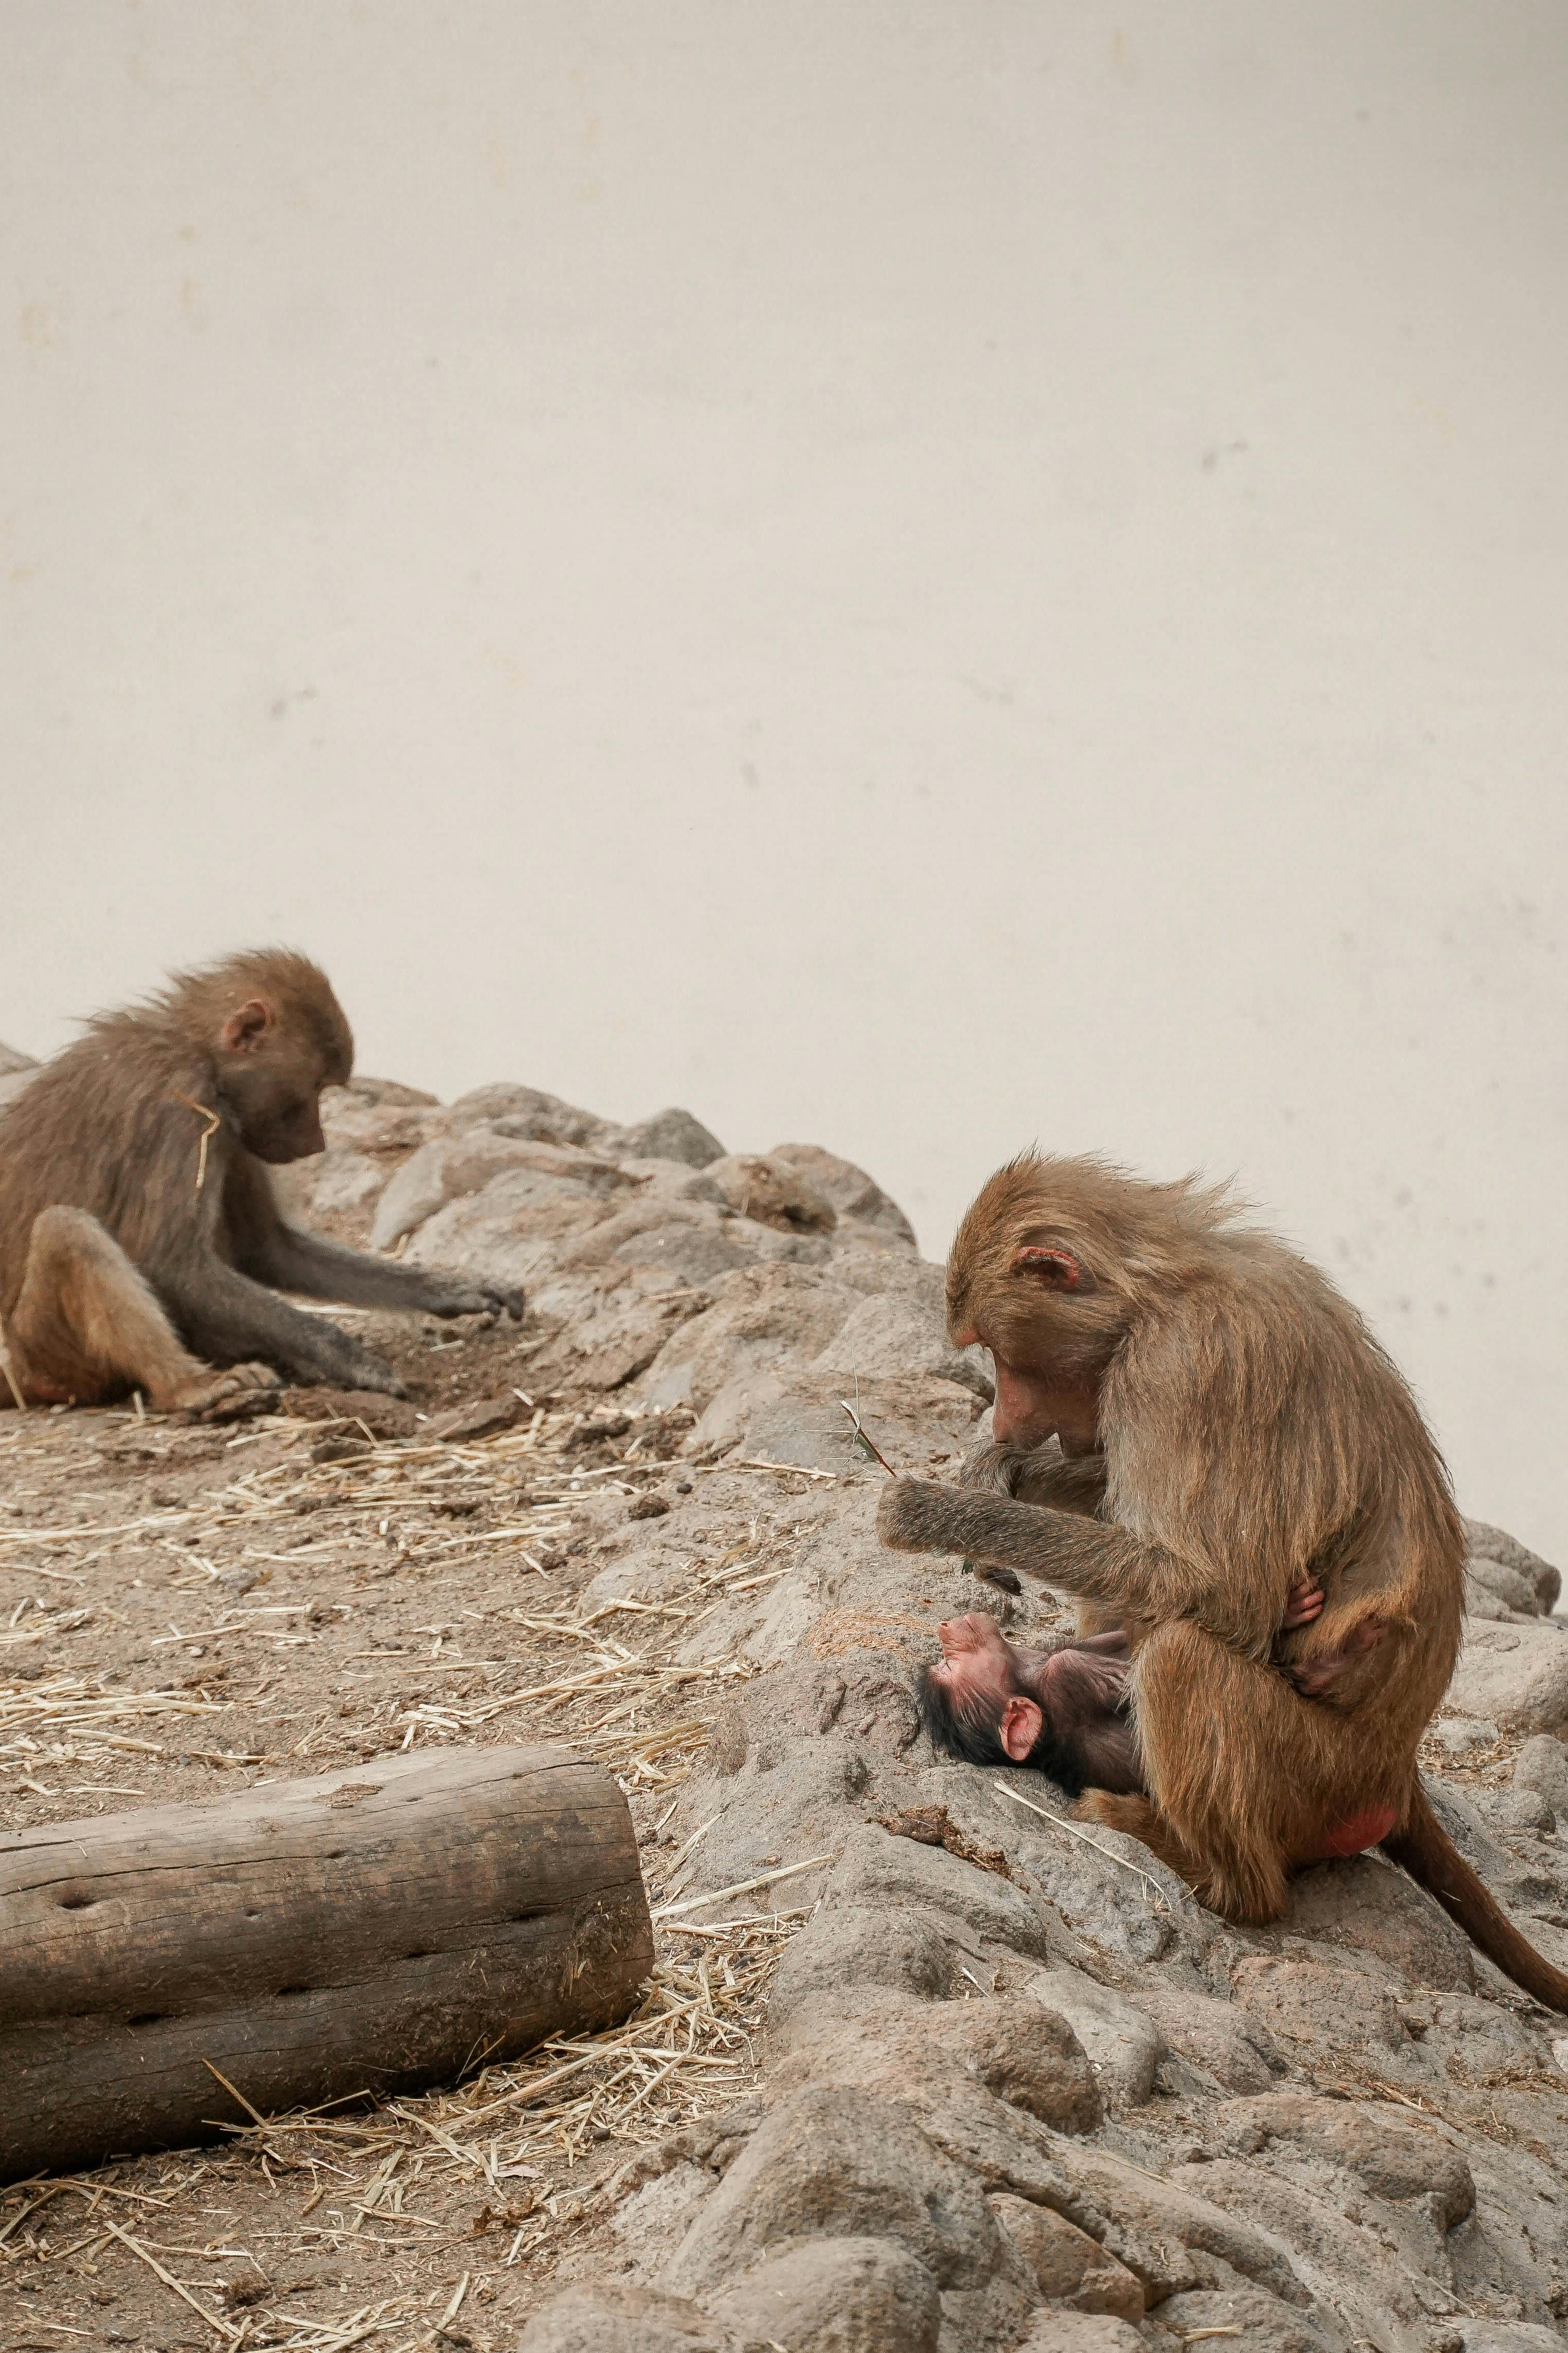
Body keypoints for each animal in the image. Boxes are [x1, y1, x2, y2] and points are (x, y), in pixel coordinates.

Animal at [0, 951, 523, 1414]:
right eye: (314, 1087)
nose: (316, 1143)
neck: (197, 1049)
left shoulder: (235, 1132)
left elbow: (266, 1248)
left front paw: (451, 1288)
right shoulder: (185, 1106)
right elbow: (171, 1264)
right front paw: (349, 1356)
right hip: (41, 1361)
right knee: (67, 1231)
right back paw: (191, 1388)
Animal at [878, 1153, 1568, 2014]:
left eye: (1002, 1352)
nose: (1004, 1420)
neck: (1158, 1292)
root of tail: (1395, 1764)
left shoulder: (1174, 1369)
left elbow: (1221, 1591)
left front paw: (943, 1507)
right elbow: (1200, 1584)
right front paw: (988, 1477)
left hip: (1323, 1774)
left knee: (1179, 1655)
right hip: (1317, 1778)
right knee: (1180, 1654)